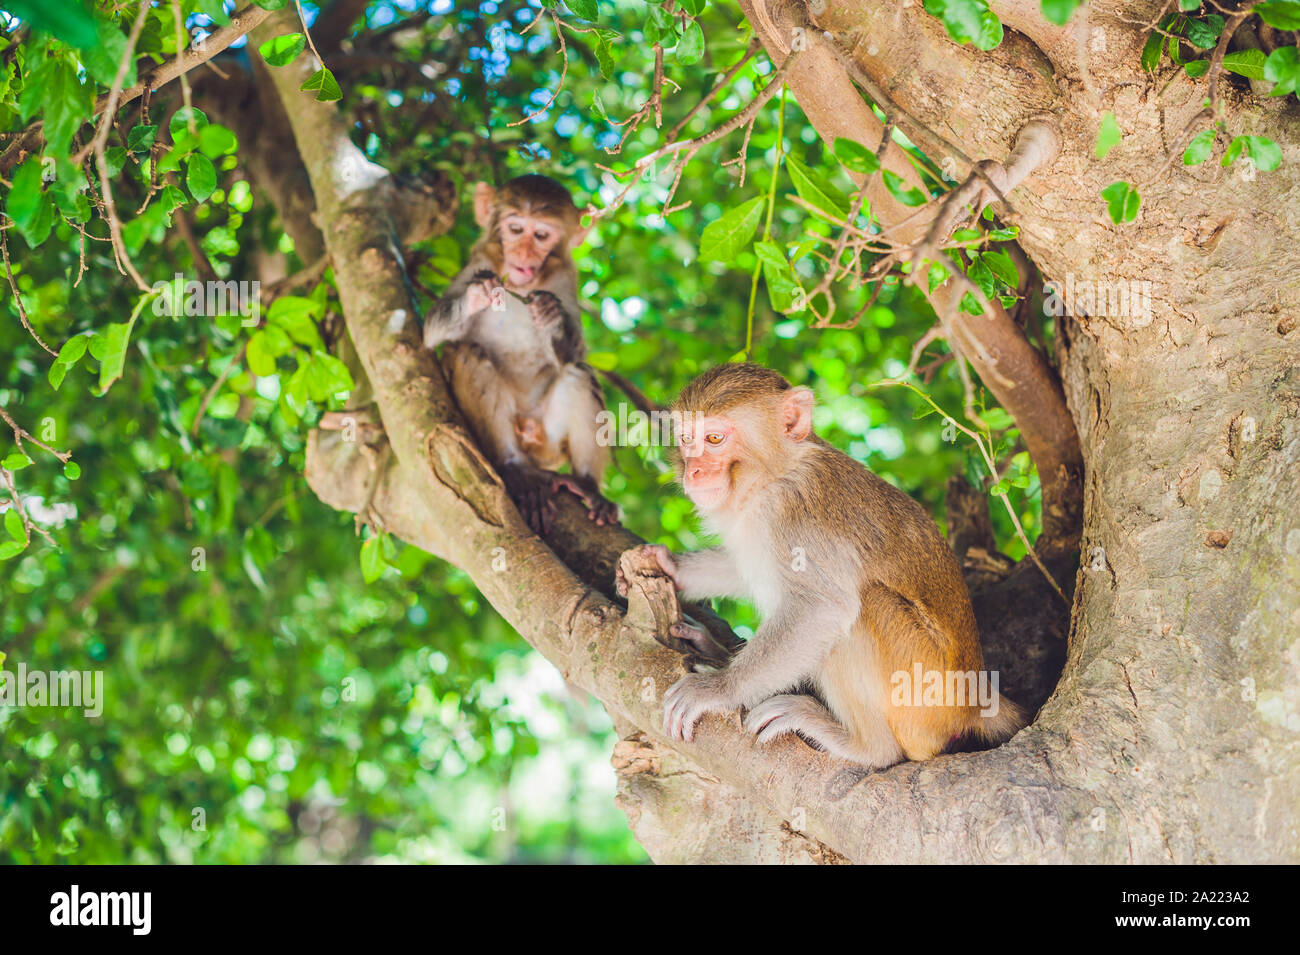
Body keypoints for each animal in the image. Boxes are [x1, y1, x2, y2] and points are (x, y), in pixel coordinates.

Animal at [423, 174, 617, 535]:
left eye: (540, 235)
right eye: (515, 229)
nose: (523, 251)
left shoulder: (564, 278)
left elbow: (576, 353)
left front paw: (551, 316)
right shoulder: (480, 261)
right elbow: (432, 330)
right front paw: (477, 295)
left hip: (549, 443)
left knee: (579, 372)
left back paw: (587, 486)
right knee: (467, 351)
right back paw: (515, 468)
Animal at [615, 363, 1026, 770]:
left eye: (714, 438)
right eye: (687, 439)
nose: (694, 472)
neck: (773, 476)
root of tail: (973, 702)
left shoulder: (793, 514)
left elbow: (821, 608)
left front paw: (718, 689)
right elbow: (744, 566)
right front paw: (668, 565)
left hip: (922, 697)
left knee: (864, 608)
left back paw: (865, 746)